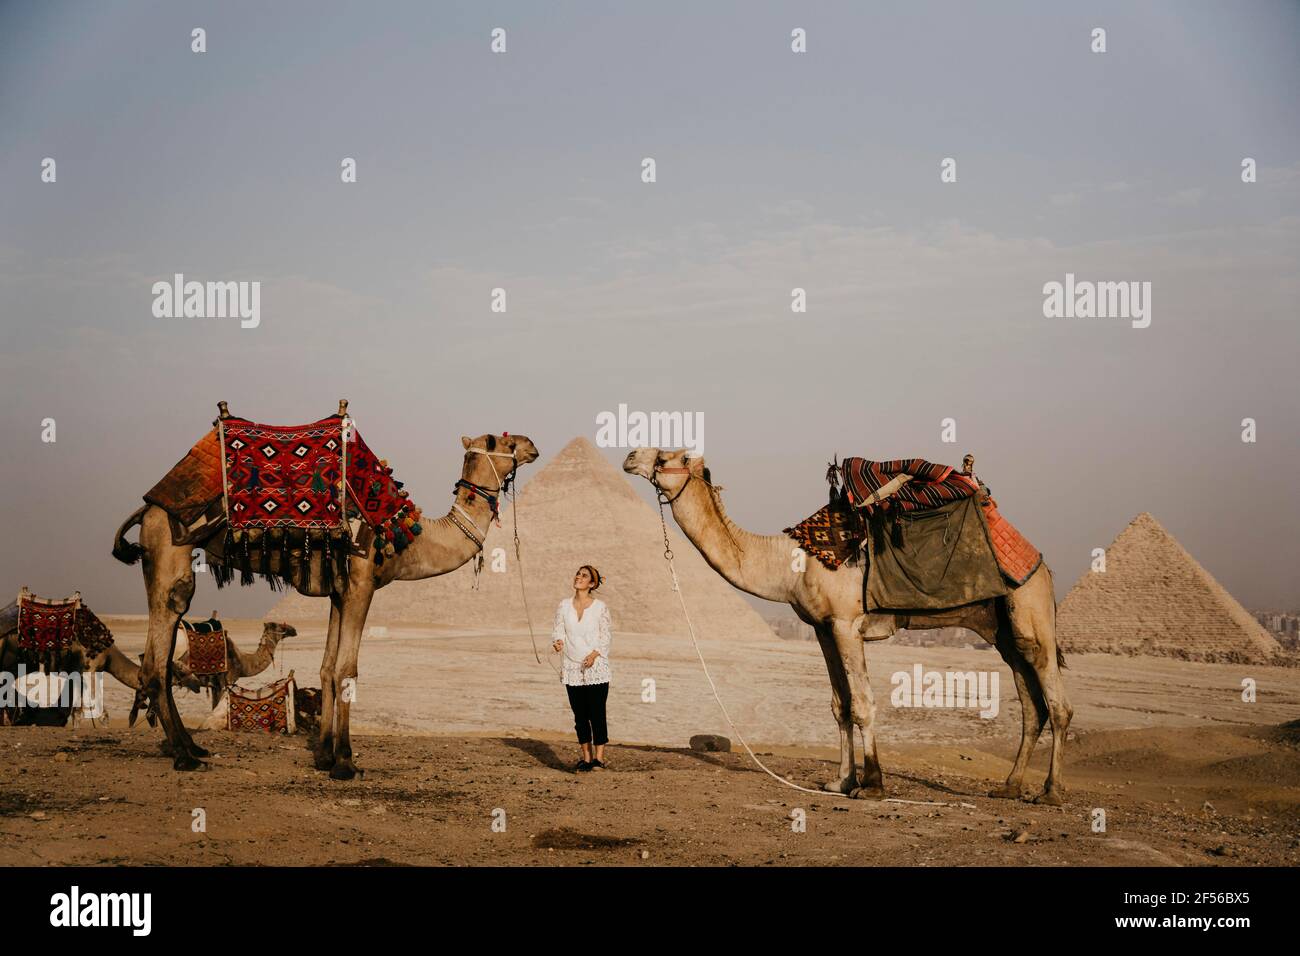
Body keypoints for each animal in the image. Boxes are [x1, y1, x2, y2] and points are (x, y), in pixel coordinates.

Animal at [113, 424, 539, 776]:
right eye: (505, 443)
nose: (533, 445)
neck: (408, 536)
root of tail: (147, 507)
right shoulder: (361, 584)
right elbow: (346, 669)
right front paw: (345, 762)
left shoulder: (338, 591)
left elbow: (326, 668)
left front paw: (323, 754)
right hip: (170, 554)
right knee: (159, 654)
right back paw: (184, 756)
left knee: (160, 659)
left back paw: (191, 747)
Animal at [624, 448, 1072, 805]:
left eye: (664, 458)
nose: (630, 456)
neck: (791, 562)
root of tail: (1044, 564)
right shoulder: (822, 628)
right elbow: (839, 705)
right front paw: (839, 781)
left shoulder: (845, 624)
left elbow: (861, 703)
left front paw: (871, 784)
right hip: (1000, 627)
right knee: (1032, 704)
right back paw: (1009, 787)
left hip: (1029, 607)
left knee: (1057, 703)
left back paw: (1049, 792)